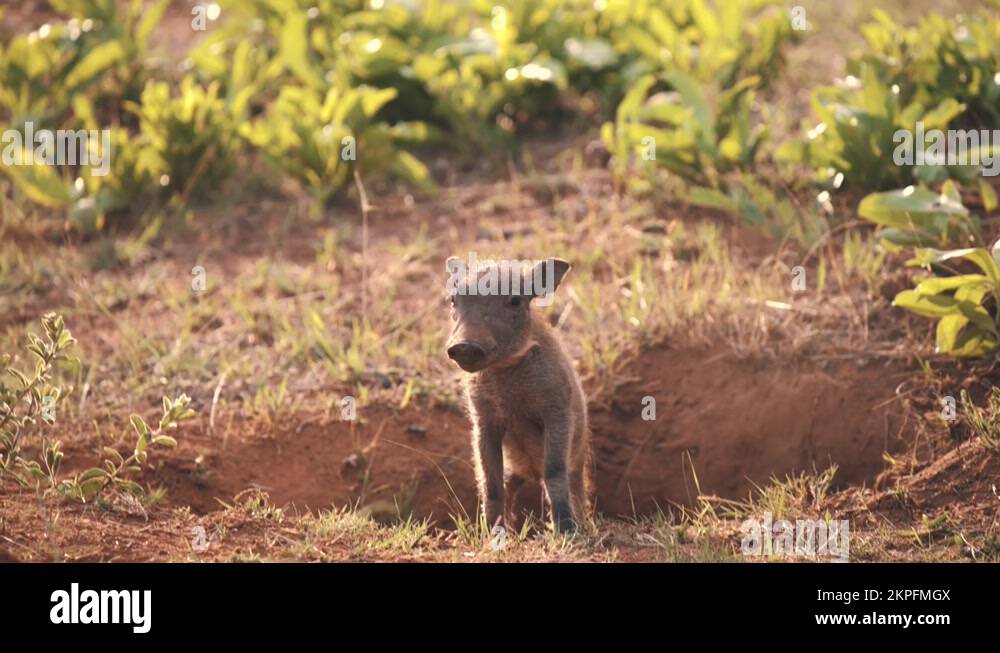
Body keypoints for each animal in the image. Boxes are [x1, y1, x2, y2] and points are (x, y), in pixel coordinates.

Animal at [445, 256, 591, 534]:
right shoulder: (484, 422)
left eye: (515, 300)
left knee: (575, 486)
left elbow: (554, 471)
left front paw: (567, 530)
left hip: (577, 461)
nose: (465, 345)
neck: (505, 370)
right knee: (508, 486)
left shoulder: (557, 412)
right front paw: (491, 533)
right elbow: (490, 482)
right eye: (453, 300)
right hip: (516, 469)